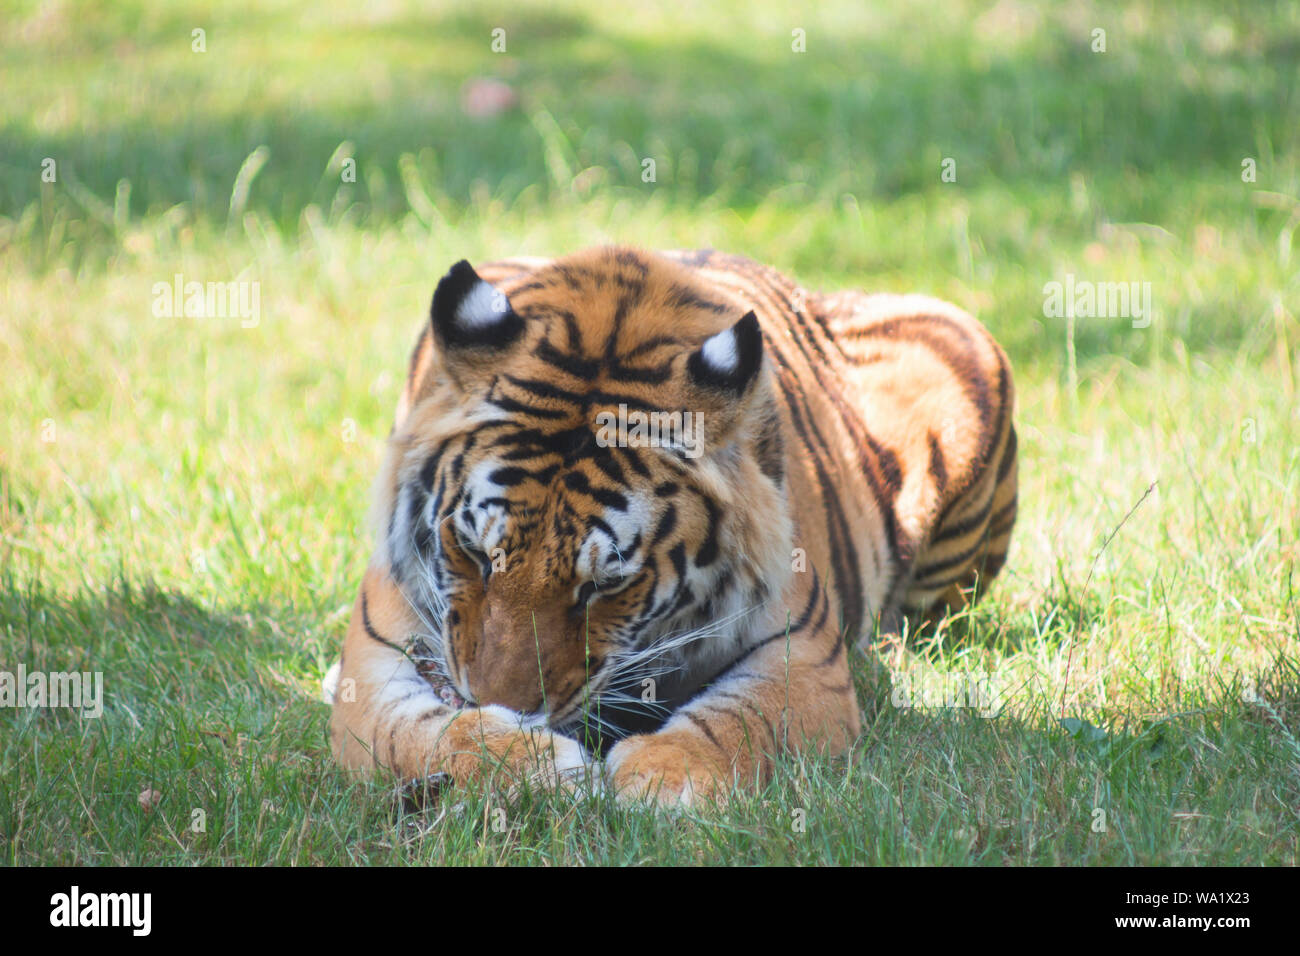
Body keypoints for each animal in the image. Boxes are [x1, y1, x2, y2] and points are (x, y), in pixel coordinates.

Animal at [326, 246, 1017, 807]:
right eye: (473, 553)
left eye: (604, 587)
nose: (505, 708)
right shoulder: (379, 653)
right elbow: (421, 733)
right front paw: (533, 766)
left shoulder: (803, 655)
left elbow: (742, 721)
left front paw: (662, 774)